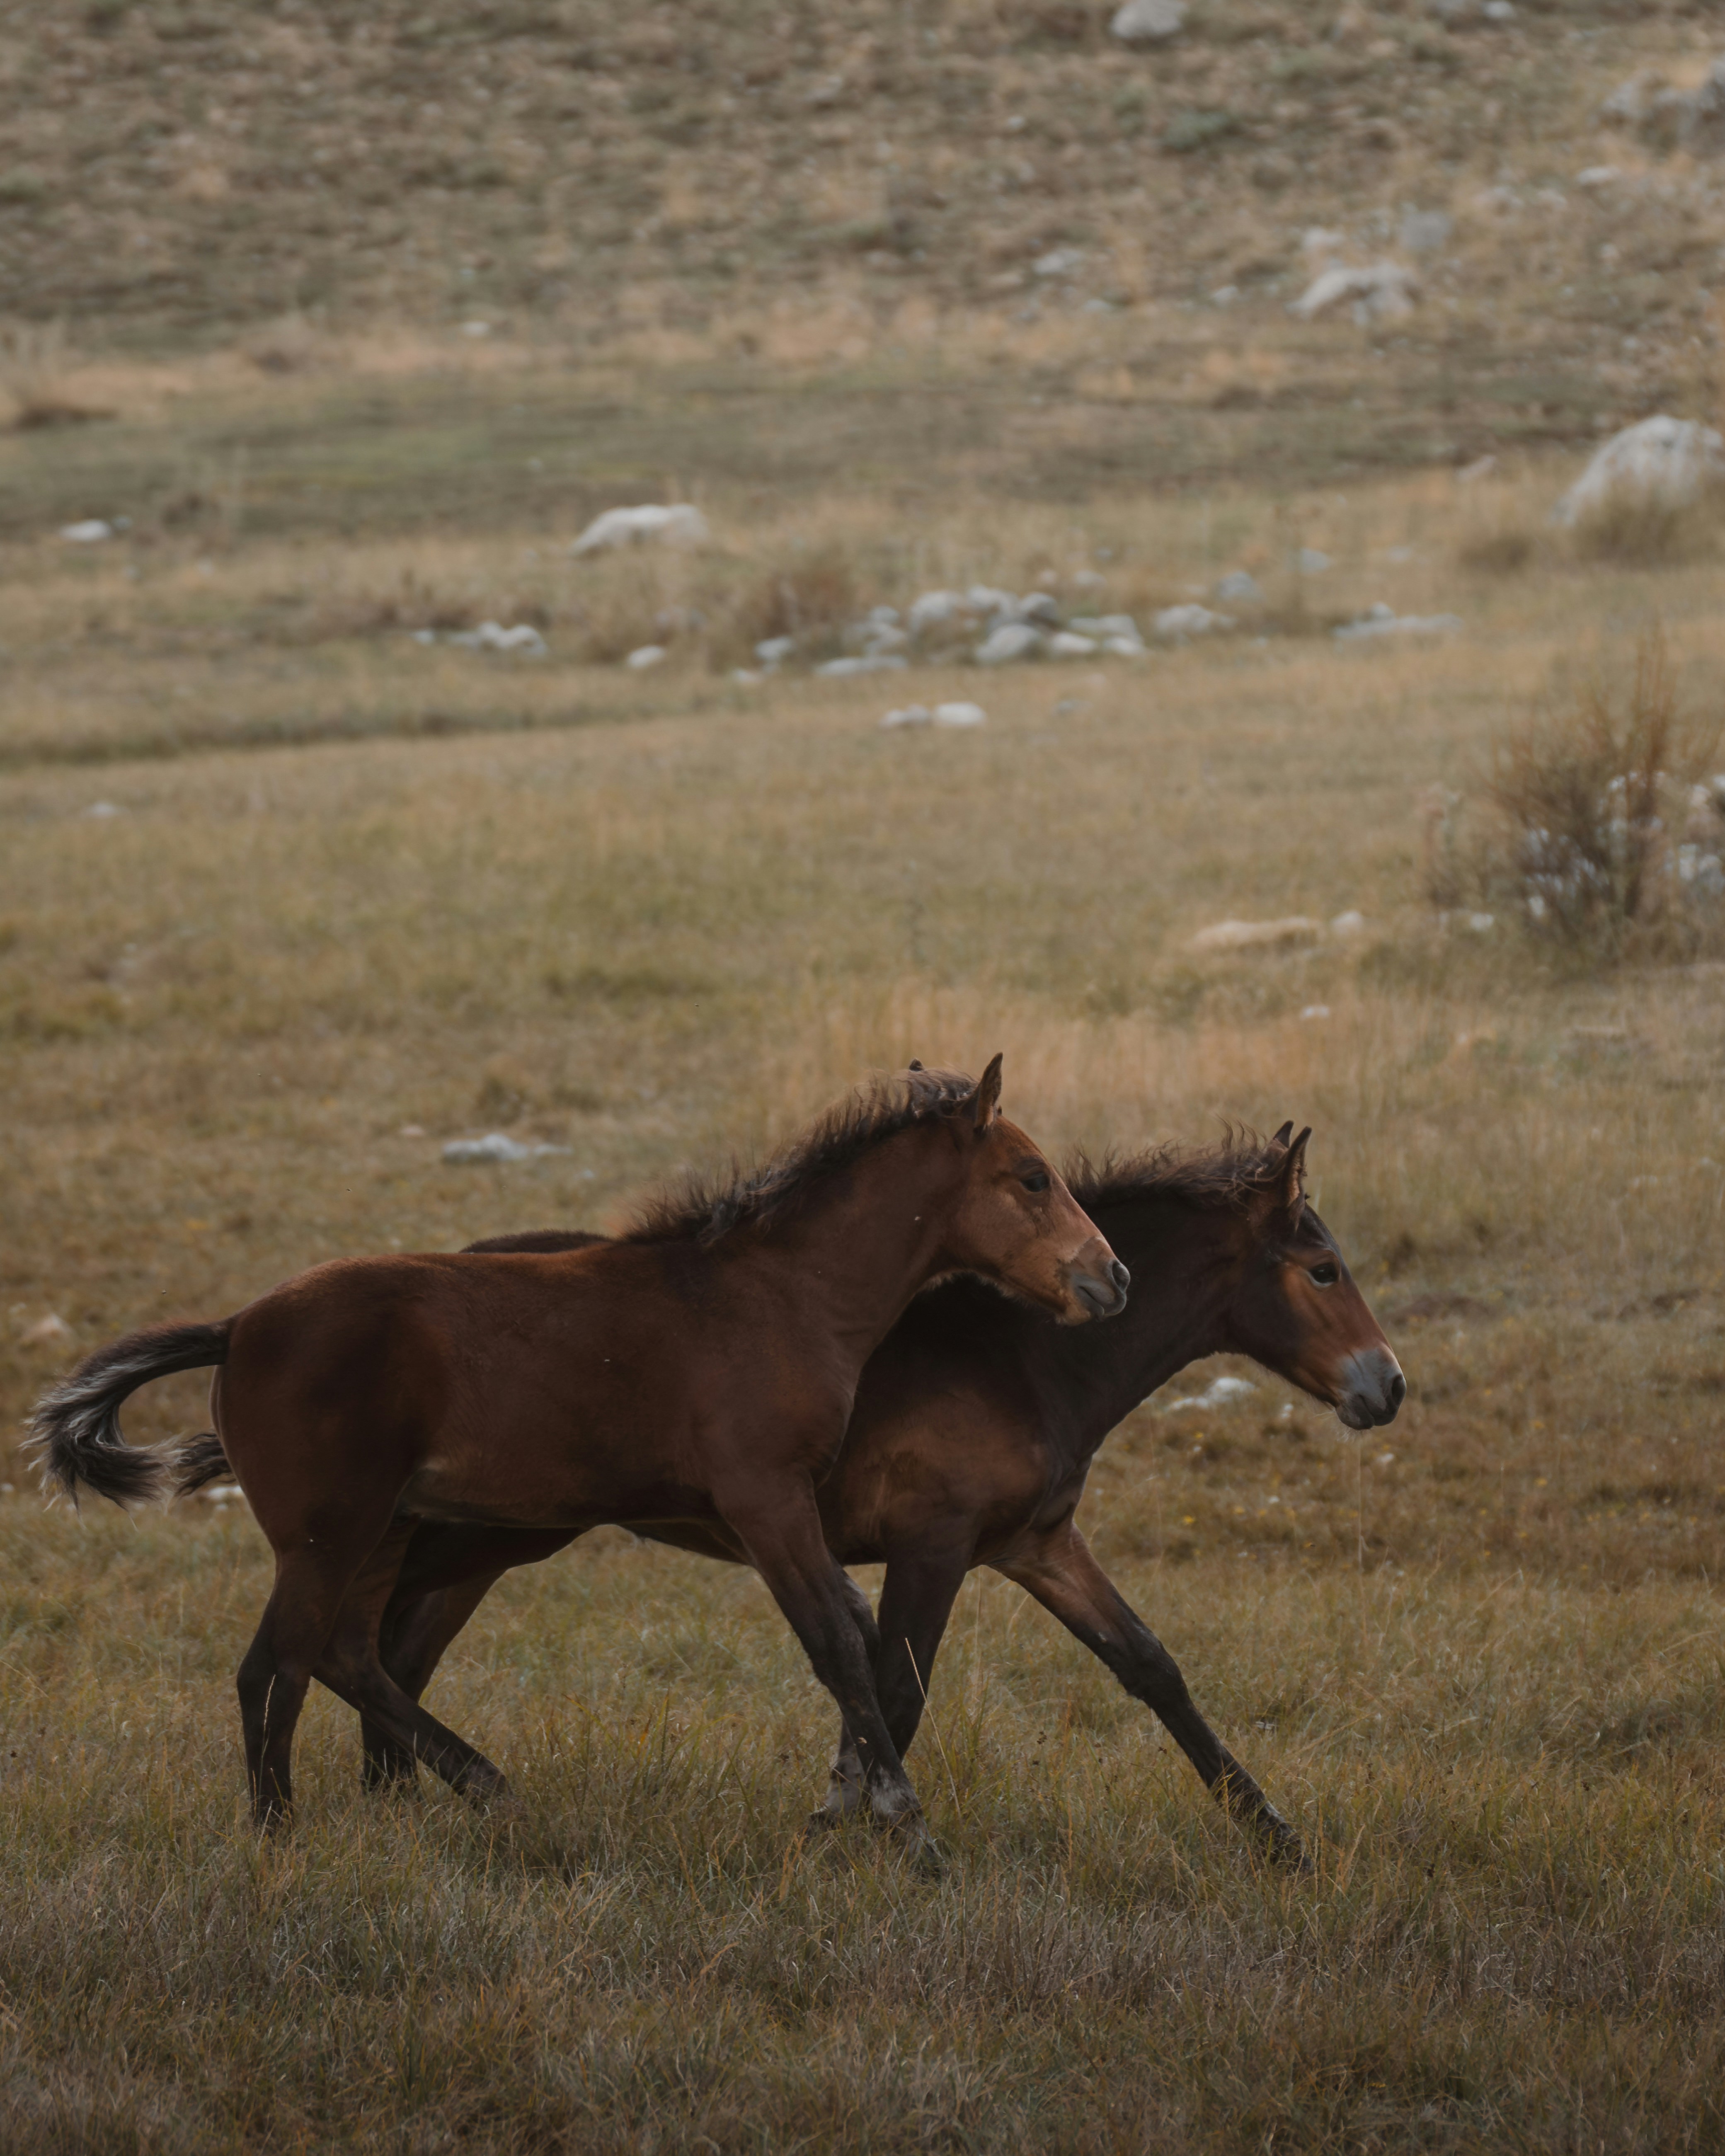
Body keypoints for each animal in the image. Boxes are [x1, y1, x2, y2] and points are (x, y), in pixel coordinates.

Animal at [28, 1058, 1128, 1846]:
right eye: (1032, 1177)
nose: (1109, 1277)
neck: (786, 1295)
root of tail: (238, 1327)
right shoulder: (765, 1498)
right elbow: (840, 1643)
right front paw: (907, 1829)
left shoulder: (779, 1509)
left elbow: (855, 1639)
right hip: (328, 1534)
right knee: (278, 1664)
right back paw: (278, 1834)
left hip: (384, 1530)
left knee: (345, 1651)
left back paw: (482, 1788)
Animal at [259, 1123, 1401, 1868]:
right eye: (1322, 1269)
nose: (1386, 1386)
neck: (1021, 1359)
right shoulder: (931, 1546)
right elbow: (893, 1686)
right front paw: (836, 1830)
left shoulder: (1036, 1544)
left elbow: (1151, 1669)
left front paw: (1277, 1838)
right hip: (474, 1532)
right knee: (358, 1643)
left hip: (481, 1536)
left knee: (387, 1648)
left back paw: (397, 1806)